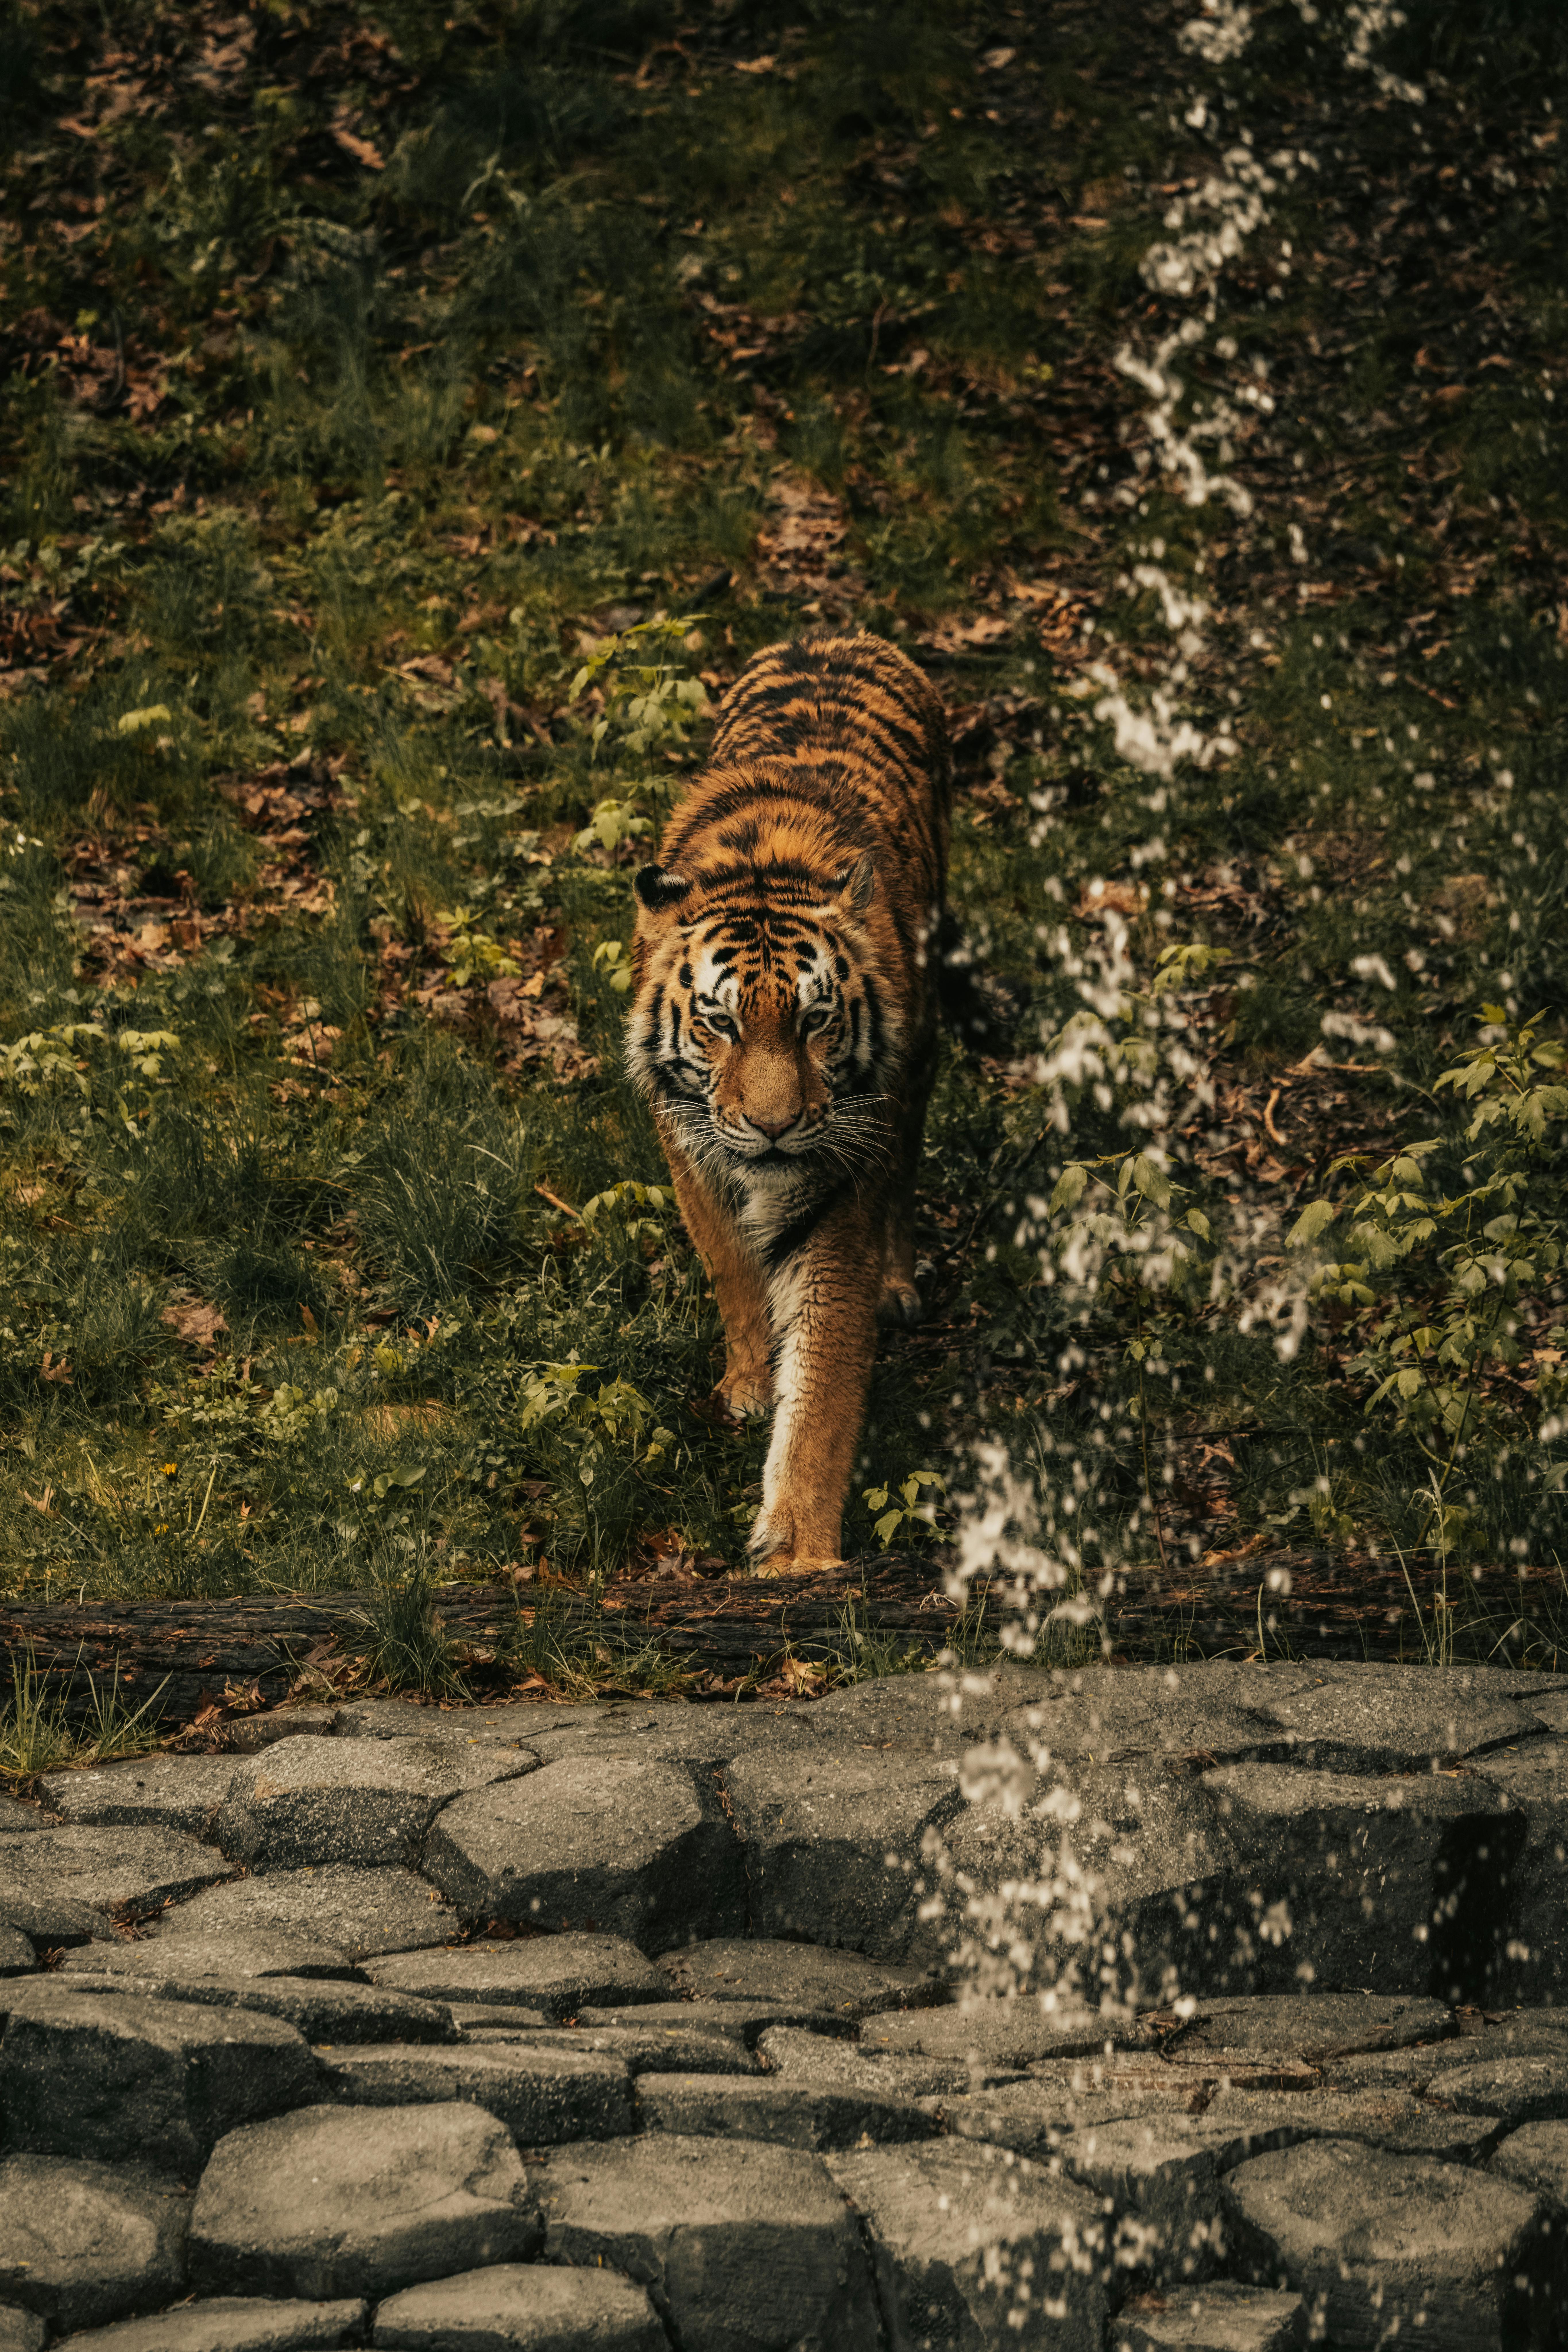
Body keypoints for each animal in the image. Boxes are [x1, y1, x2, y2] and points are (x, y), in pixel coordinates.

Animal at [627, 629, 982, 1577]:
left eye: (815, 1021)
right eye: (717, 1024)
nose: (774, 1126)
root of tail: (837, 632)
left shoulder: (840, 1184)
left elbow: (822, 1380)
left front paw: (795, 1549)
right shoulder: (688, 1147)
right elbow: (733, 1270)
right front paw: (750, 1387)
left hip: (917, 1058)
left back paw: (898, 1281)